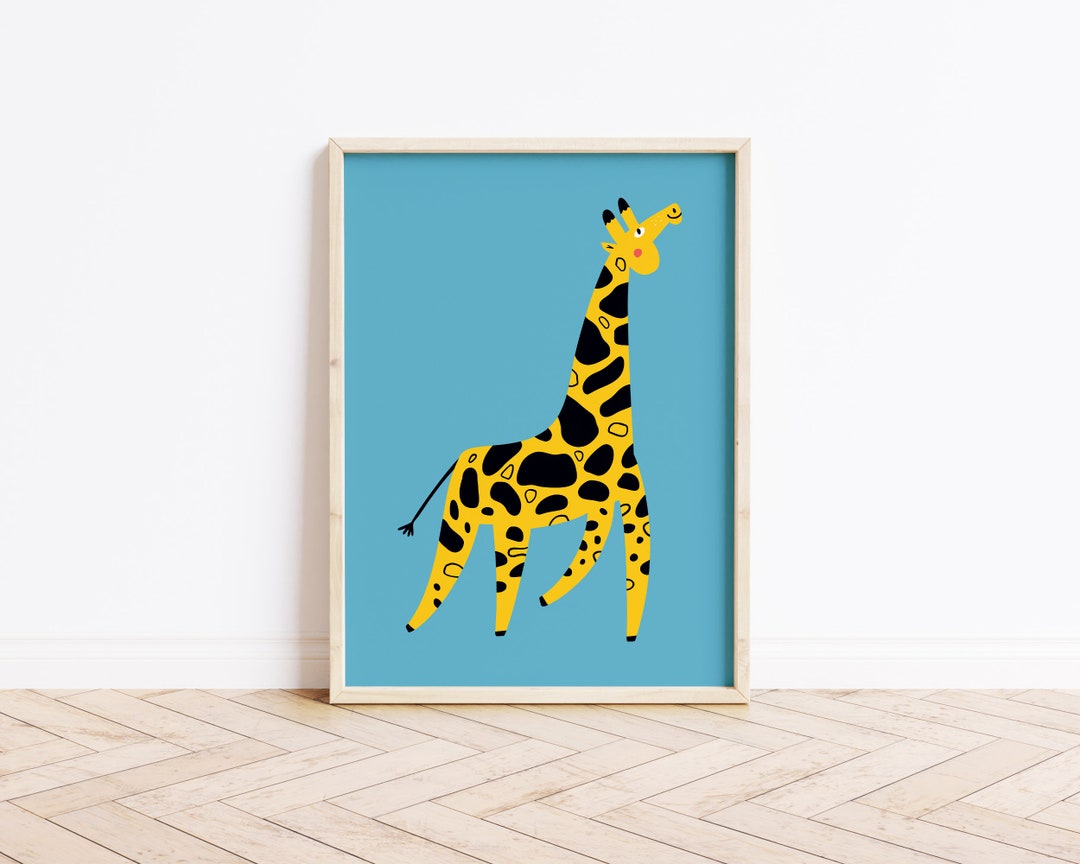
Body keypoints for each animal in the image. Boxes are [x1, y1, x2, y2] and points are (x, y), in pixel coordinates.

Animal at [398, 197, 683, 641]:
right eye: (638, 232)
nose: (674, 211)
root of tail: (458, 460)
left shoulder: (604, 504)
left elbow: (589, 555)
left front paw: (547, 599)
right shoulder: (632, 495)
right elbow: (637, 568)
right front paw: (631, 635)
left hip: (491, 522)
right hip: (481, 520)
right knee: (464, 572)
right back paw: (427, 627)